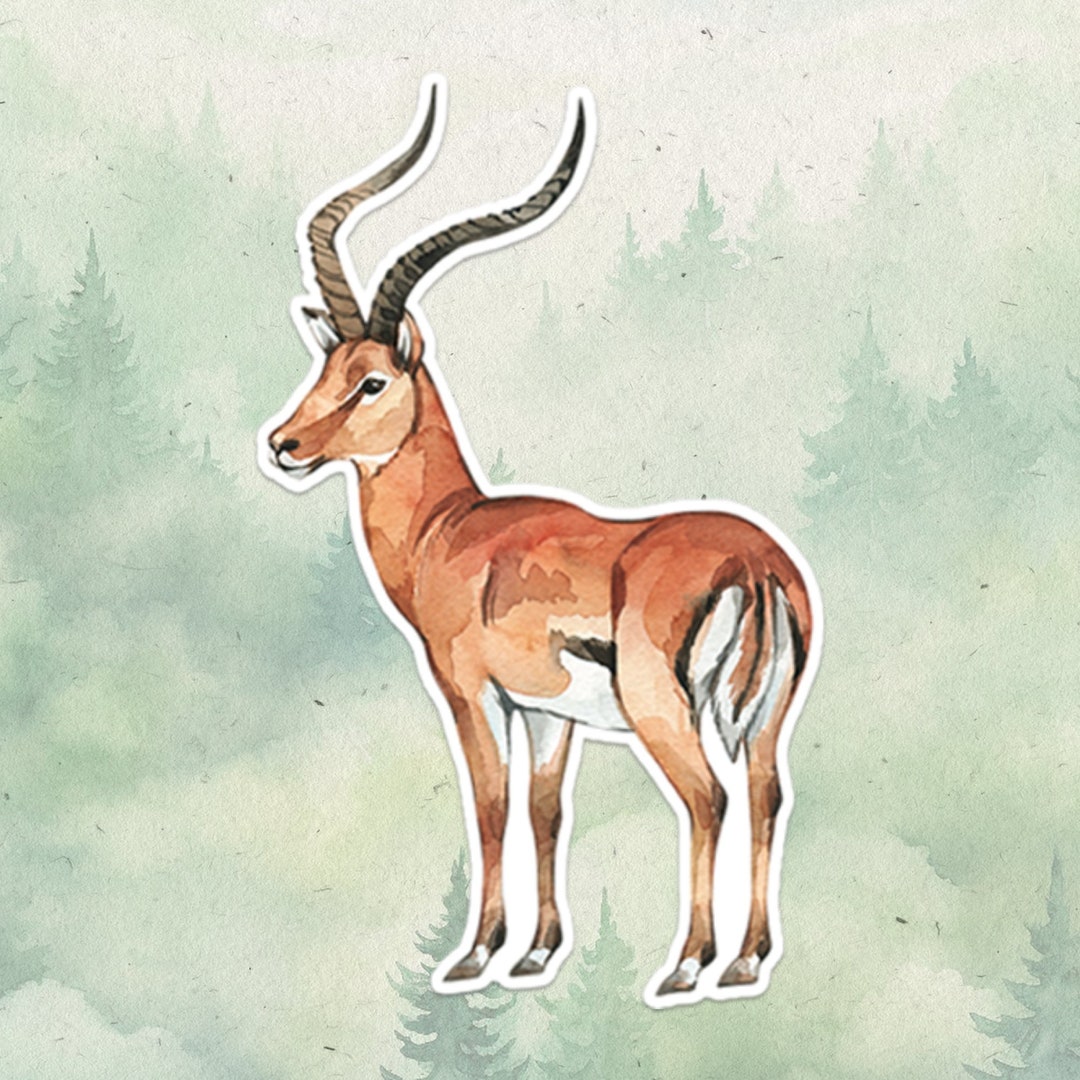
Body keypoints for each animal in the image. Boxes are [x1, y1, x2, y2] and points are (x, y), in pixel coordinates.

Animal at [259, 75, 821, 1008]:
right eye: (325, 368)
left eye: (371, 380)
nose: (283, 445)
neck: (449, 530)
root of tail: (760, 562)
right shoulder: (553, 713)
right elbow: (546, 811)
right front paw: (534, 954)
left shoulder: (471, 695)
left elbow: (490, 804)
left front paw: (474, 955)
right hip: (766, 715)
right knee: (769, 795)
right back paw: (746, 960)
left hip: (664, 711)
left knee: (707, 797)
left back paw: (686, 966)